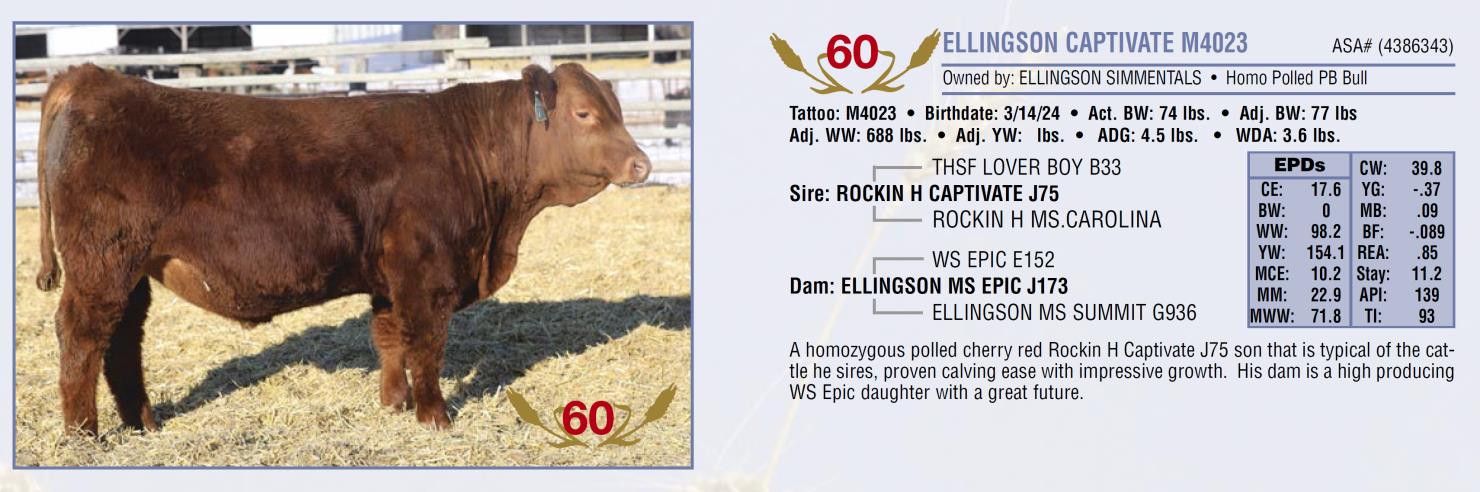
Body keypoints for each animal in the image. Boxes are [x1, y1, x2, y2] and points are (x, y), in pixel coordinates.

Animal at [33, 63, 651, 435]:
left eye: (616, 108)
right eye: (584, 113)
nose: (641, 164)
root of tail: (91, 77)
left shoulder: (388, 278)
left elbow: (390, 339)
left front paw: (394, 403)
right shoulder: (425, 273)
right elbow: (426, 344)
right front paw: (434, 417)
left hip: (130, 269)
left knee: (121, 342)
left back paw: (143, 424)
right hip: (101, 262)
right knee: (82, 336)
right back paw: (84, 433)